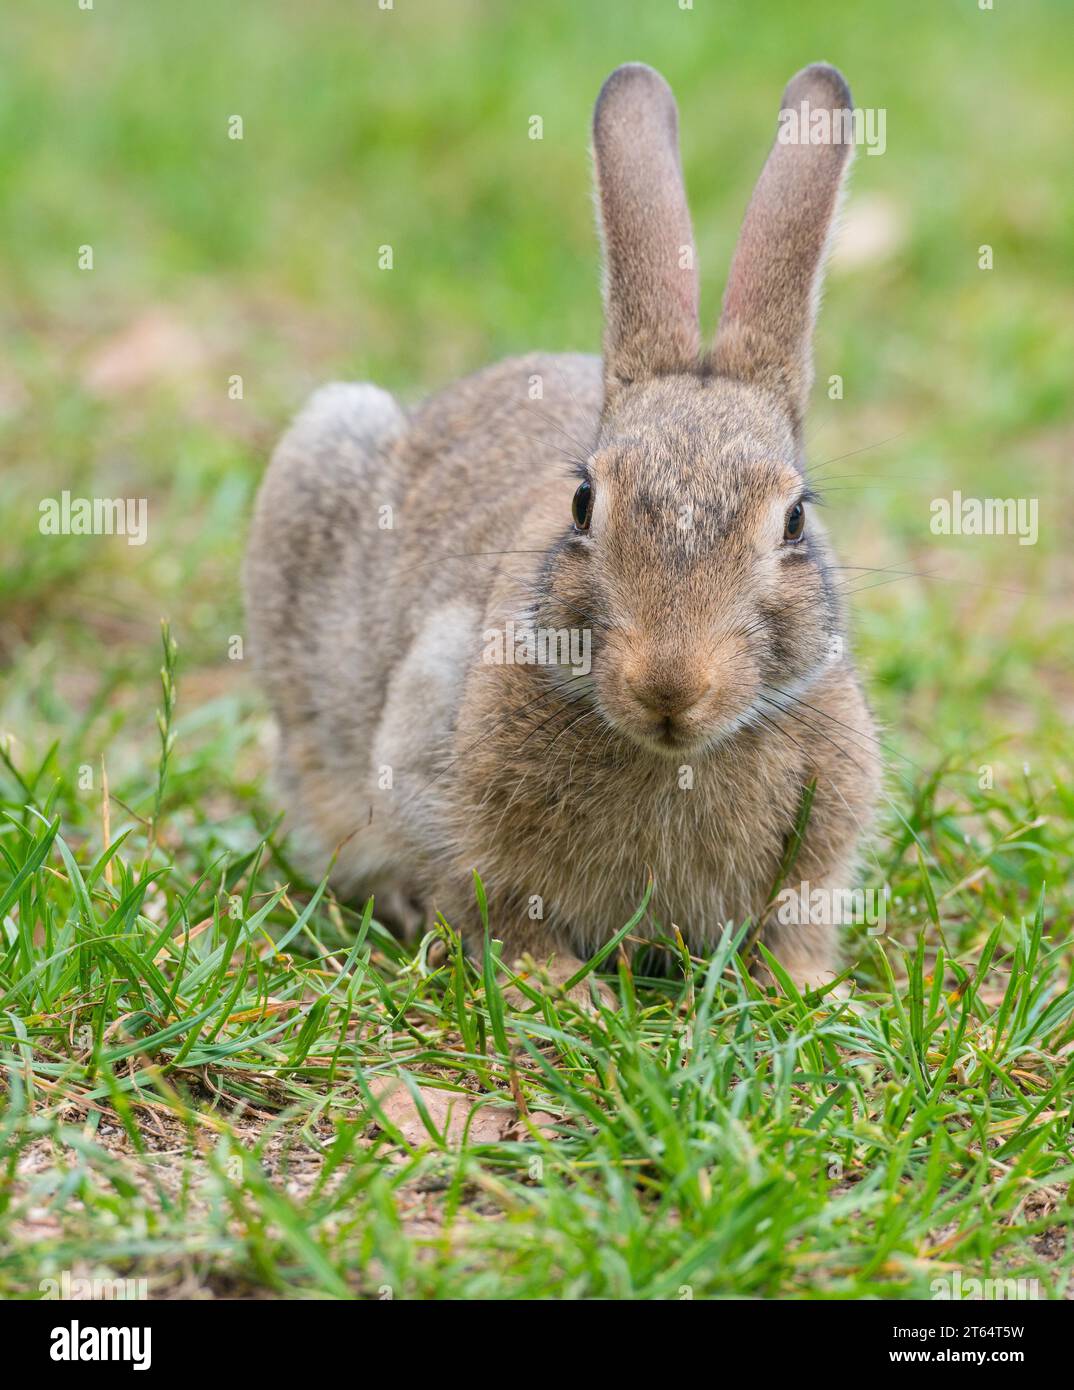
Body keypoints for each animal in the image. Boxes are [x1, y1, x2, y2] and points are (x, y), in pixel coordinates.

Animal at [245, 61, 881, 1006]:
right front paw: (559, 991)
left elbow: (795, 929)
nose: (669, 684)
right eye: (584, 503)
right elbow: (492, 904)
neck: (670, 755)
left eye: (796, 519)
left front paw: (811, 992)